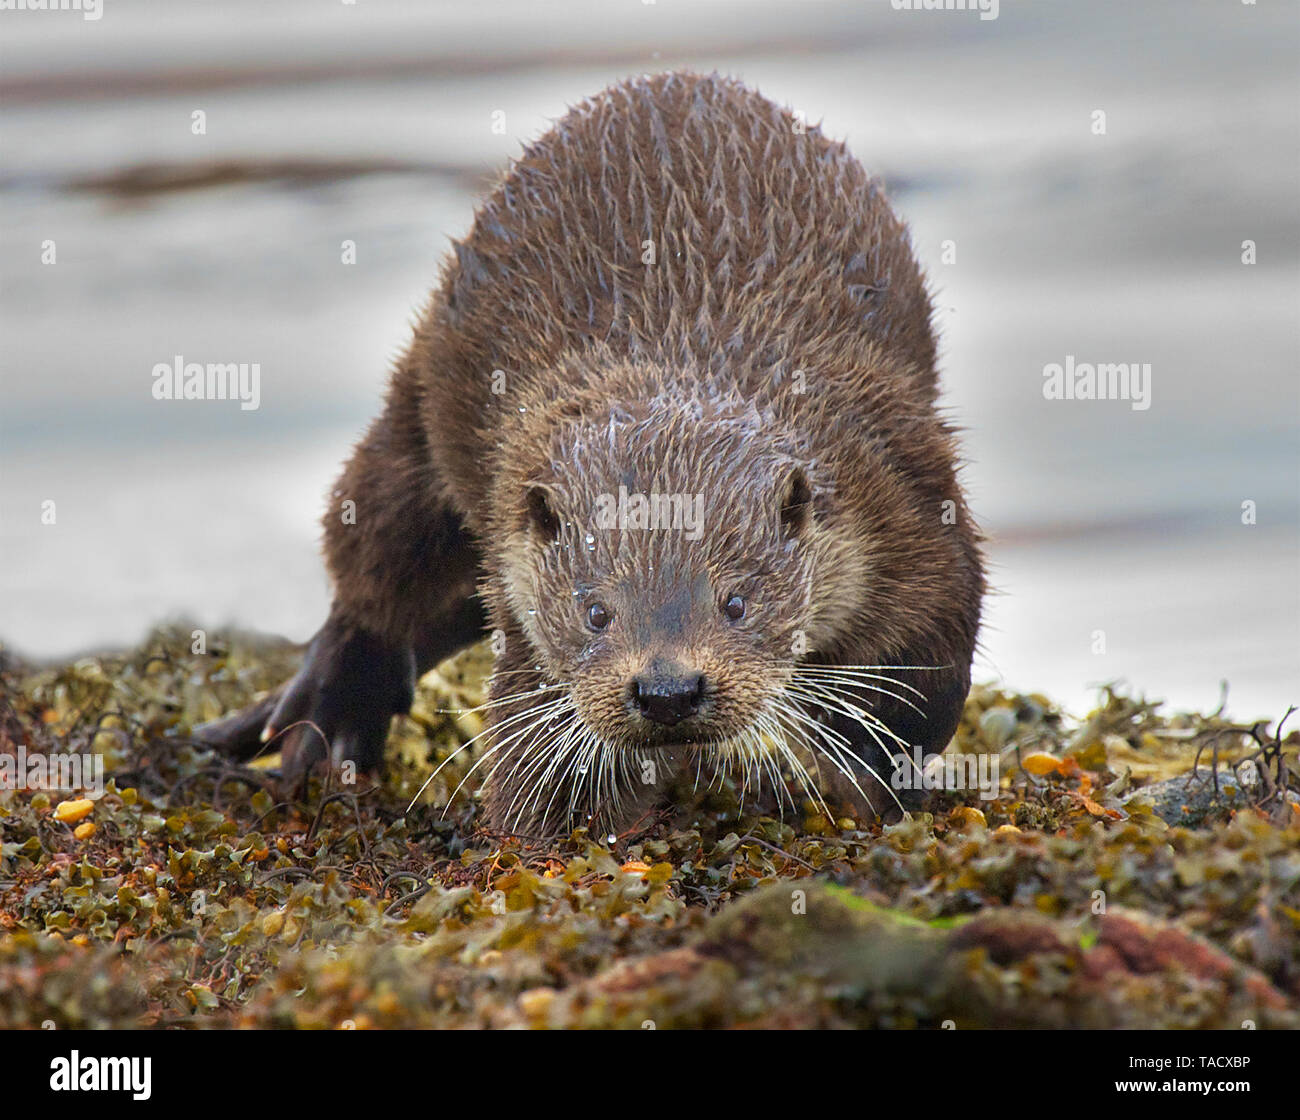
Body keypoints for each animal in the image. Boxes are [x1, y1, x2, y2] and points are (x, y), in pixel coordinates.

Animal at [200, 71, 985, 837]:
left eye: (736, 602)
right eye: (596, 612)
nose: (667, 690)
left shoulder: (898, 486)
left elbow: (921, 669)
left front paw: (872, 776)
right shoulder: (515, 563)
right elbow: (533, 740)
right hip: (417, 408)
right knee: (375, 558)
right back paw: (328, 713)